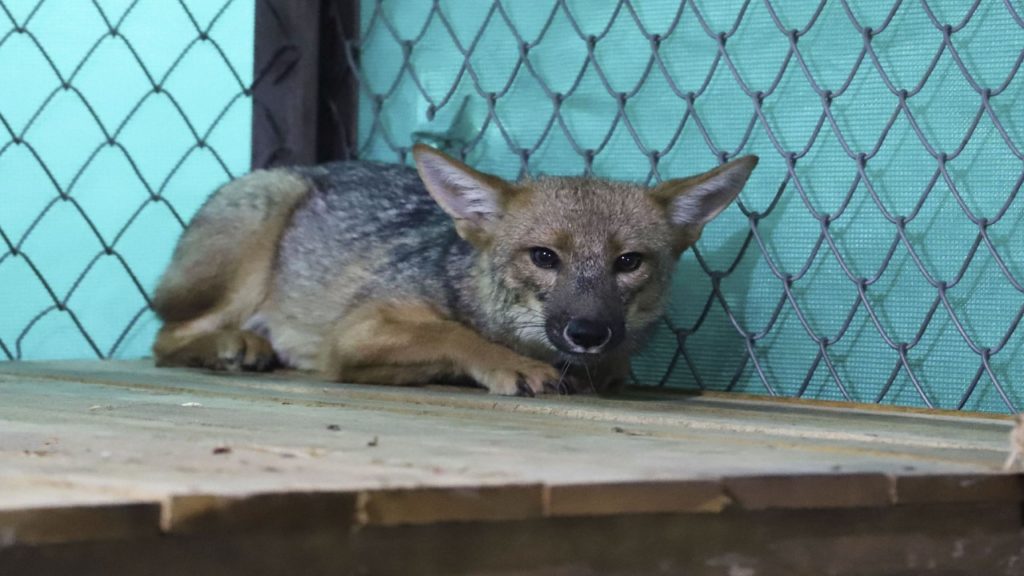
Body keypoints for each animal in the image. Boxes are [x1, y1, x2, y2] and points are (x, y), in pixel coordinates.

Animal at [151, 144, 757, 396]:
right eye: (544, 257)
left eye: (627, 262)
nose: (588, 332)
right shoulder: (357, 330)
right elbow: (452, 334)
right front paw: (510, 365)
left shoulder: (613, 364)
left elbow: (611, 369)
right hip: (267, 214)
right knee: (165, 339)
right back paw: (234, 347)